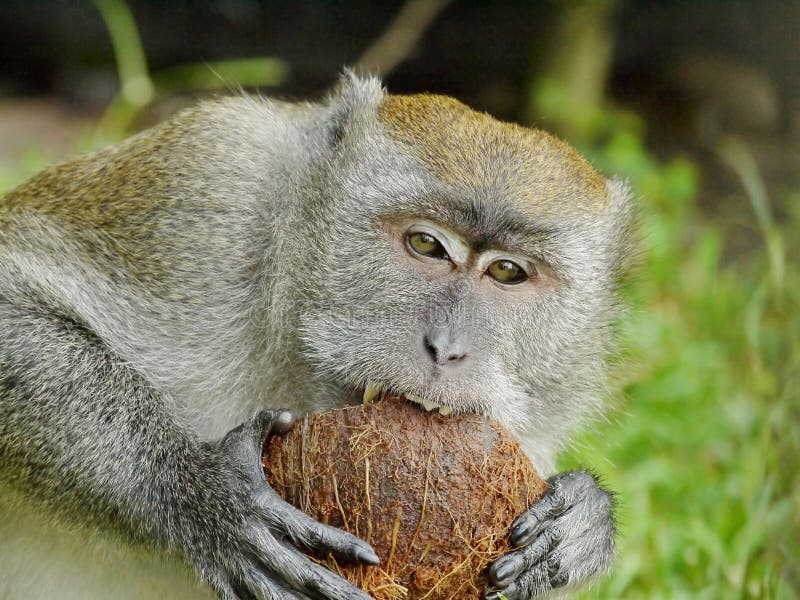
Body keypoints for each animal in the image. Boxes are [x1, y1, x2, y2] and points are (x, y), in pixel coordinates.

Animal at [0, 72, 631, 600]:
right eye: (426, 244)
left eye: (507, 272)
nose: (447, 348)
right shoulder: (207, 179)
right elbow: (12, 305)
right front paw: (203, 491)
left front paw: (582, 523)